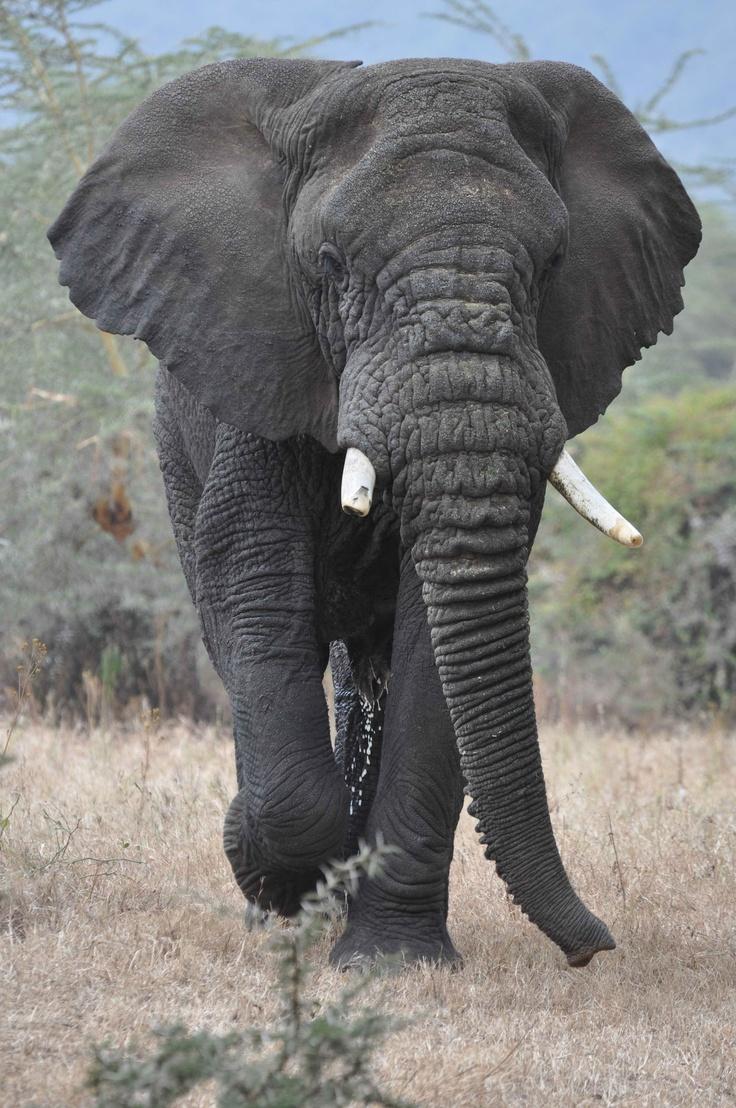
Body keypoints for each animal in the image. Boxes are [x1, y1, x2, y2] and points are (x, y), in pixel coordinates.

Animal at [48, 56, 700, 970]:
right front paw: (271, 873)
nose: (593, 948)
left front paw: (392, 962)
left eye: (555, 262)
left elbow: (434, 647)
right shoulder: (263, 370)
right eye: (328, 262)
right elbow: (253, 591)